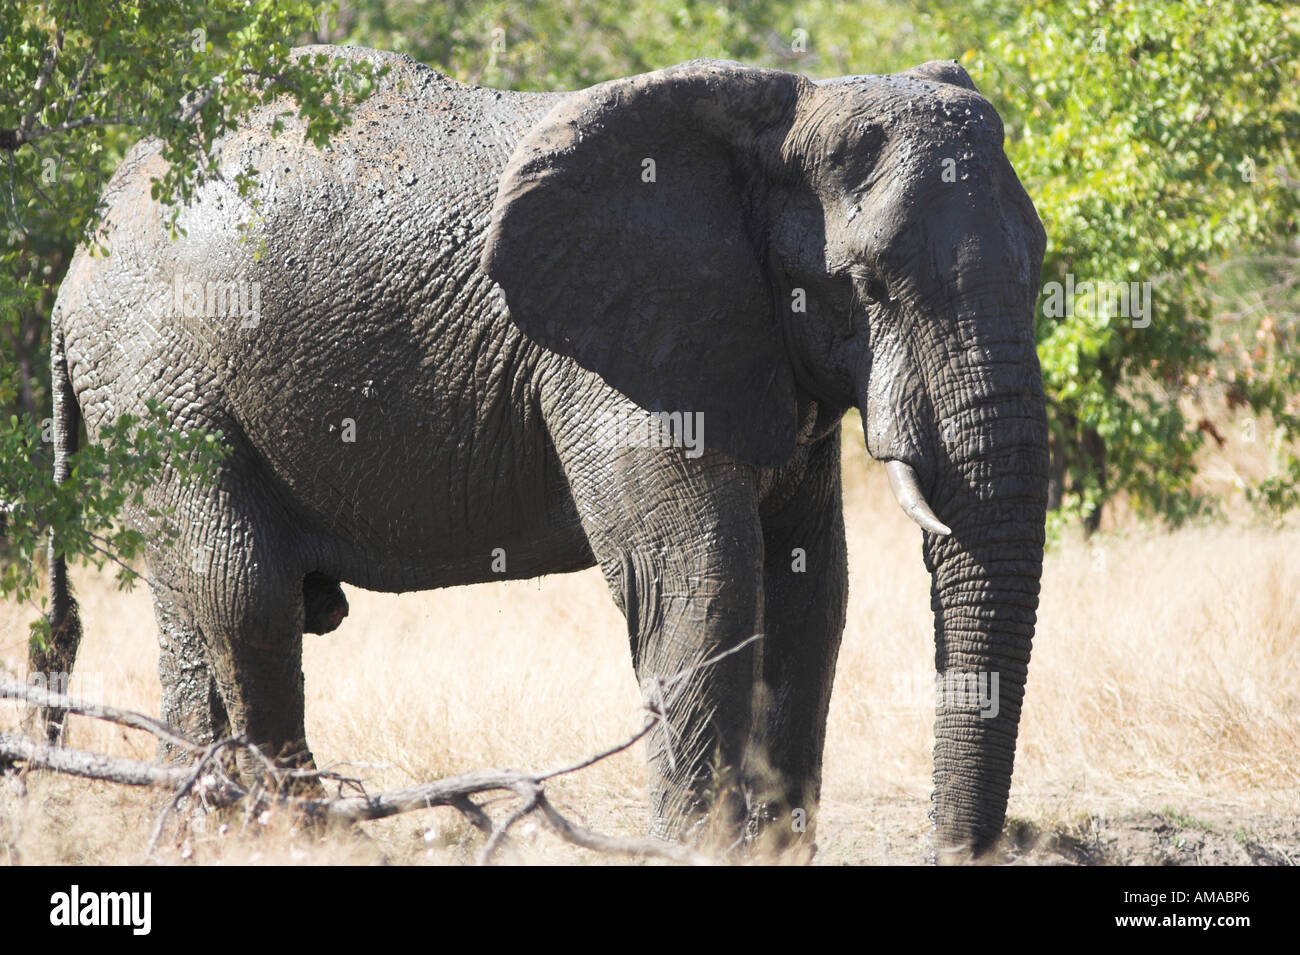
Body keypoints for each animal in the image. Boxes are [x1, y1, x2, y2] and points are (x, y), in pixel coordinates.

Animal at [32, 46, 1048, 859]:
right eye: (866, 283)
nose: (955, 849)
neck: (778, 113)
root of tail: (81, 245)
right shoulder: (607, 362)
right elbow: (701, 576)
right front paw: (694, 849)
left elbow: (811, 587)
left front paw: (769, 848)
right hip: (164, 382)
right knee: (244, 594)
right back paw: (292, 830)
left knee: (194, 606)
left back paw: (198, 825)